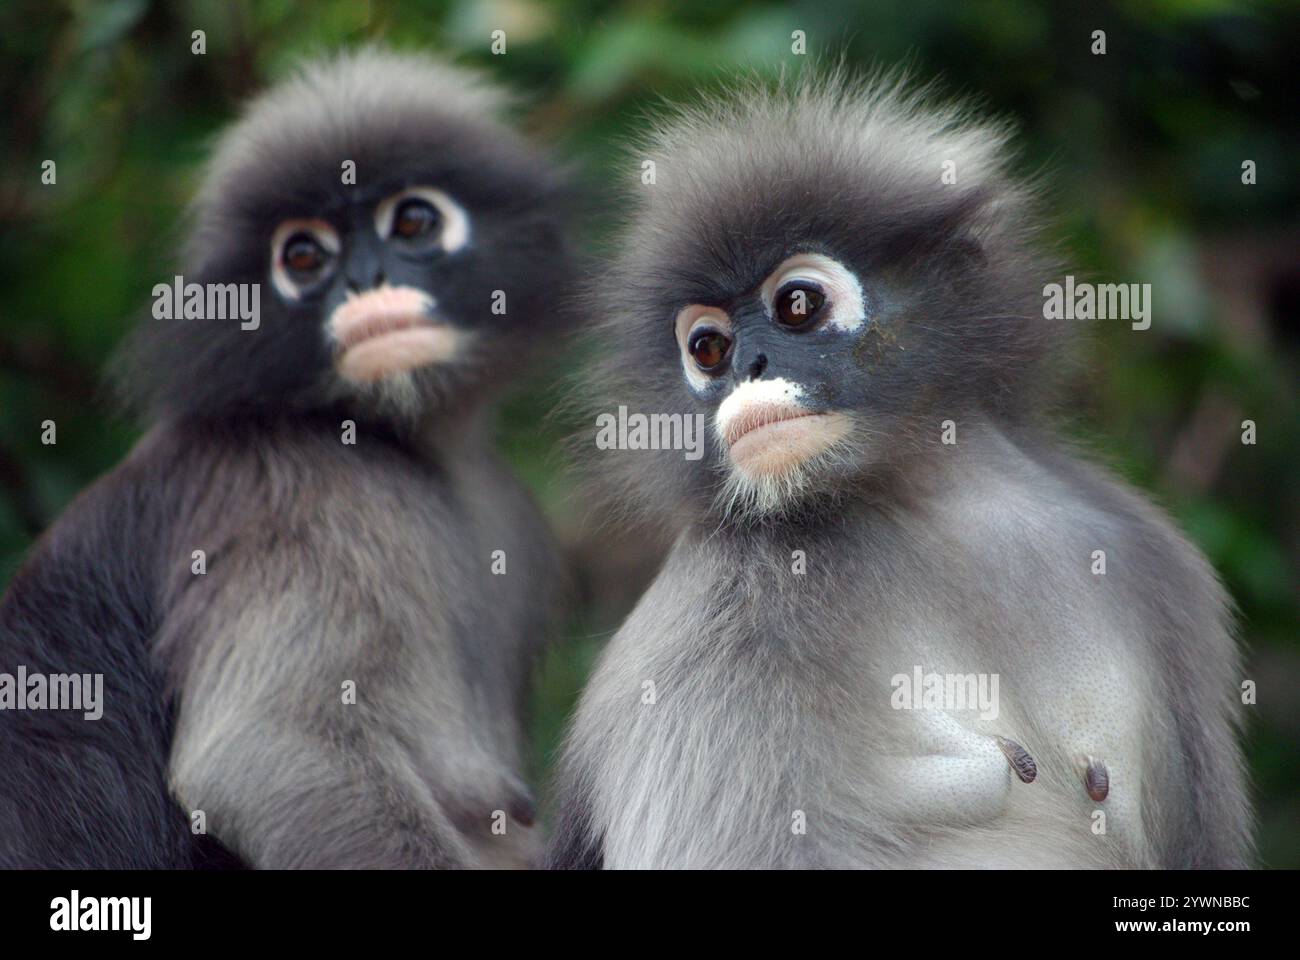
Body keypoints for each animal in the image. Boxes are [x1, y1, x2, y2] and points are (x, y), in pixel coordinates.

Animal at [0, 49, 571, 869]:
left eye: (414, 221)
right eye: (303, 256)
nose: (363, 281)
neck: (406, 442)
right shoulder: (305, 493)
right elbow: (266, 749)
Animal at [546, 73, 1252, 869]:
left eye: (797, 304)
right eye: (707, 349)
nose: (748, 366)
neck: (926, 507)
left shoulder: (1158, 569)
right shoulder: (718, 617)